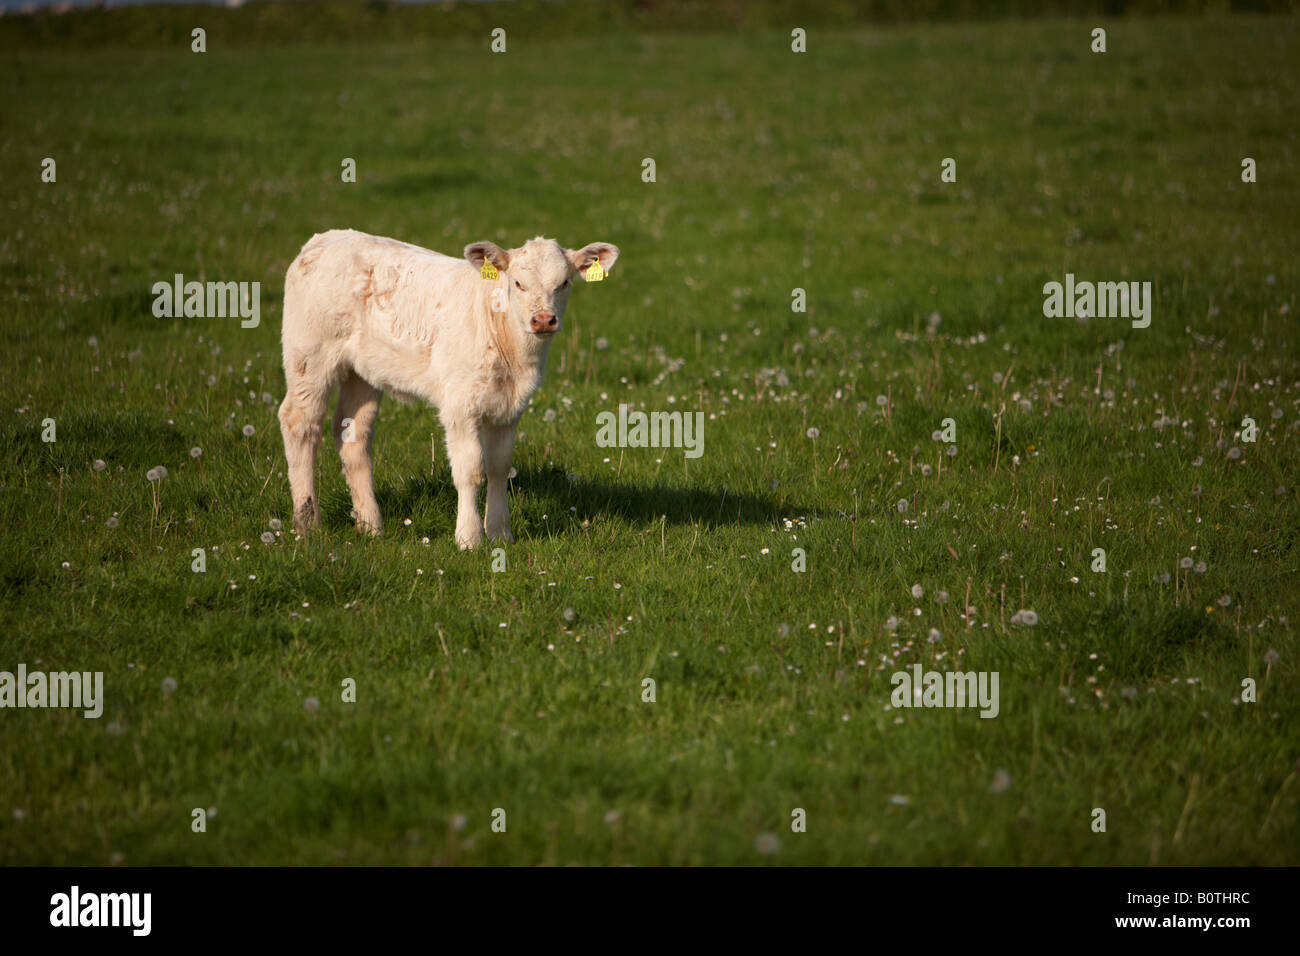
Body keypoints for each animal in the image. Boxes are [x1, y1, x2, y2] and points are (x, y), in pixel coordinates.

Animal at [278, 229, 619, 549]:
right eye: (518, 283)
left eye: (564, 283)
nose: (544, 320)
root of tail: (324, 239)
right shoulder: (460, 404)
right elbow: (471, 469)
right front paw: (469, 538)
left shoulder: (510, 408)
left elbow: (499, 467)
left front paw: (500, 534)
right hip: (309, 355)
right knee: (299, 422)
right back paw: (308, 524)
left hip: (362, 371)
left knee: (353, 433)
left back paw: (371, 525)